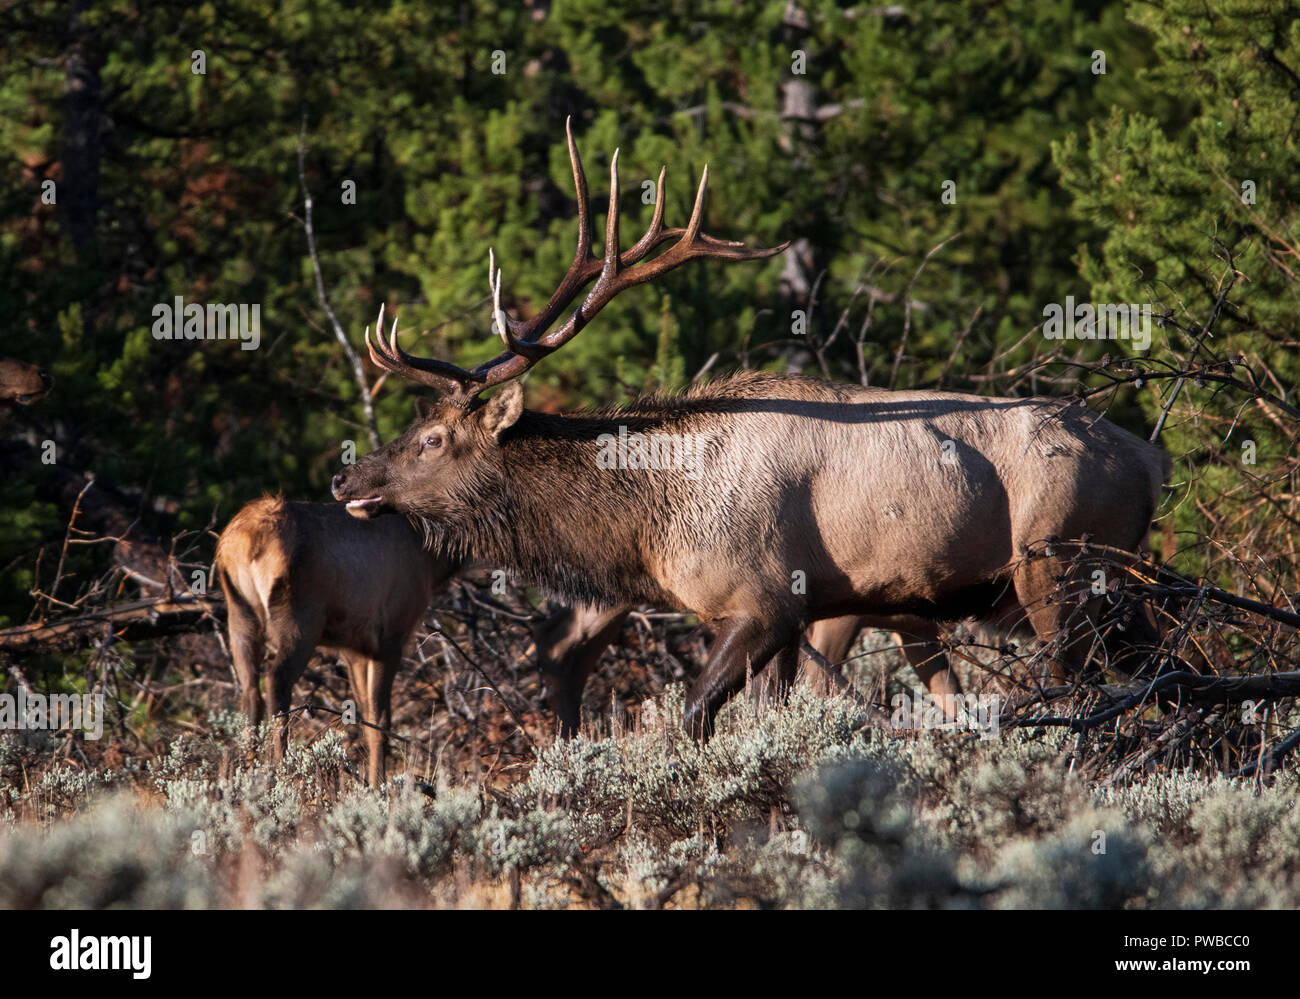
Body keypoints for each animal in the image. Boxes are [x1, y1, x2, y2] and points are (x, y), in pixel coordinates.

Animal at [331, 120, 1170, 739]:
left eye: (432, 438)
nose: (345, 476)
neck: (652, 521)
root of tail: (1152, 460)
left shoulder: (764, 598)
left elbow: (692, 718)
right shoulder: (797, 612)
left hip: (1058, 563)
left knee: (1076, 688)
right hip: (1113, 582)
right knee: (1162, 670)